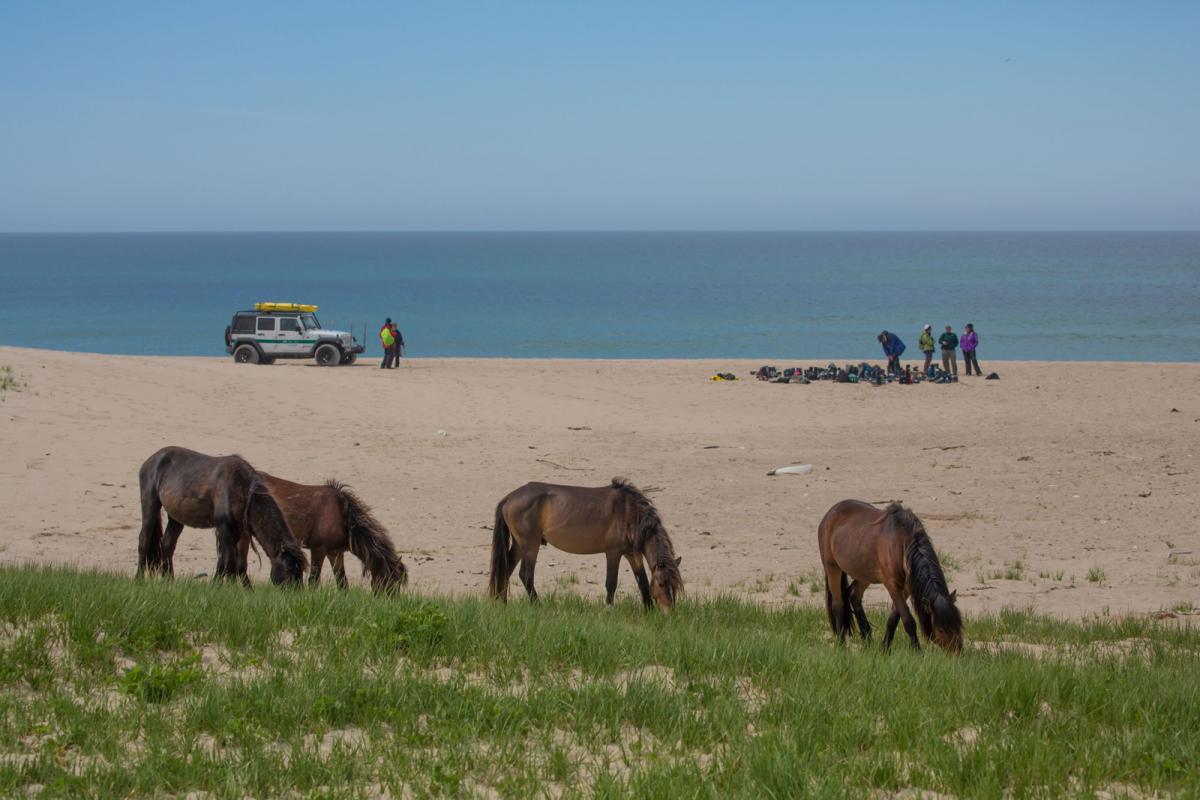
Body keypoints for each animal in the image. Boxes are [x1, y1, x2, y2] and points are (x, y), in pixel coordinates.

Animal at [137, 446, 307, 586]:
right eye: (289, 571)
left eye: (300, 572)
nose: (295, 593)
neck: (243, 489)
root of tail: (152, 459)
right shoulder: (223, 526)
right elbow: (230, 562)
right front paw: (229, 587)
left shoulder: (236, 530)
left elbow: (223, 560)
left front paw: (216, 586)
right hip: (150, 504)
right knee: (144, 541)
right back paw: (139, 579)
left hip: (176, 517)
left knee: (167, 544)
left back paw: (169, 581)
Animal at [249, 474, 408, 593]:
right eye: (391, 582)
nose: (392, 604)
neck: (343, 517)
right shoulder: (318, 549)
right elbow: (314, 580)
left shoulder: (335, 553)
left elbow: (342, 583)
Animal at [488, 478, 683, 610]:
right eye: (661, 584)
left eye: (675, 585)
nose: (669, 612)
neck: (630, 512)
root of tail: (509, 498)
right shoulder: (613, 553)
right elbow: (611, 583)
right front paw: (609, 609)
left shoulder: (633, 554)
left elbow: (642, 581)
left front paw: (649, 611)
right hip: (530, 544)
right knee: (525, 575)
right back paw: (538, 606)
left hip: (519, 545)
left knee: (506, 570)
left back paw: (502, 604)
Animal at [817, 499, 962, 653]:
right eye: (940, 629)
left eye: (959, 624)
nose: (957, 653)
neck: (902, 543)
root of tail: (829, 515)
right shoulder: (892, 584)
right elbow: (908, 619)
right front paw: (917, 651)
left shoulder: (906, 587)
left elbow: (893, 618)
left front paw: (884, 648)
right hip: (833, 568)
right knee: (838, 604)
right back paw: (841, 643)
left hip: (865, 574)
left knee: (853, 595)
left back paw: (867, 639)